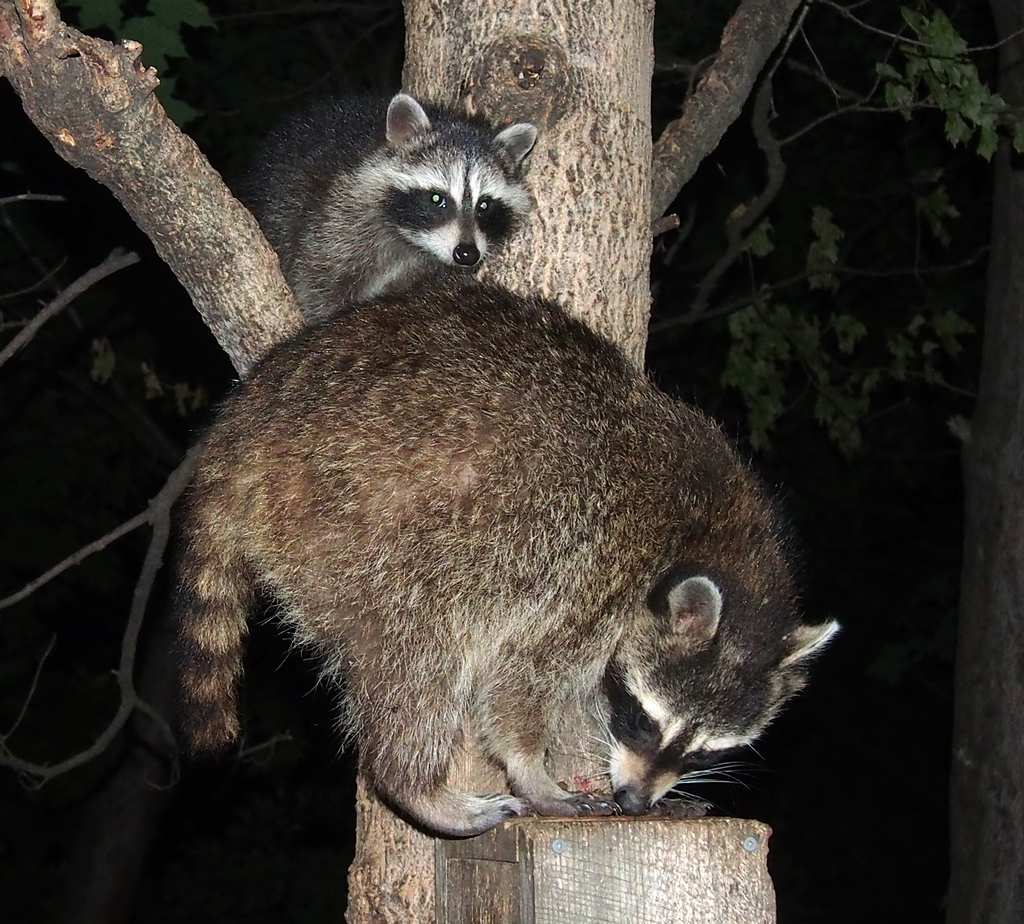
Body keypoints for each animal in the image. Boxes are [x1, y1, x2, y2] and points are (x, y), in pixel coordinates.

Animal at [172, 279, 838, 838]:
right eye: (646, 721)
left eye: (704, 750)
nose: (633, 803)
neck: (719, 541)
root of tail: (247, 422)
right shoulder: (595, 573)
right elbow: (518, 680)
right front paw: (531, 767)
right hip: (364, 515)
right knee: (420, 649)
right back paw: (411, 780)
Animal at [241, 93, 537, 322]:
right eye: (437, 199)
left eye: (484, 205)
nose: (467, 254)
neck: (412, 243)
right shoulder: (335, 221)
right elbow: (318, 287)